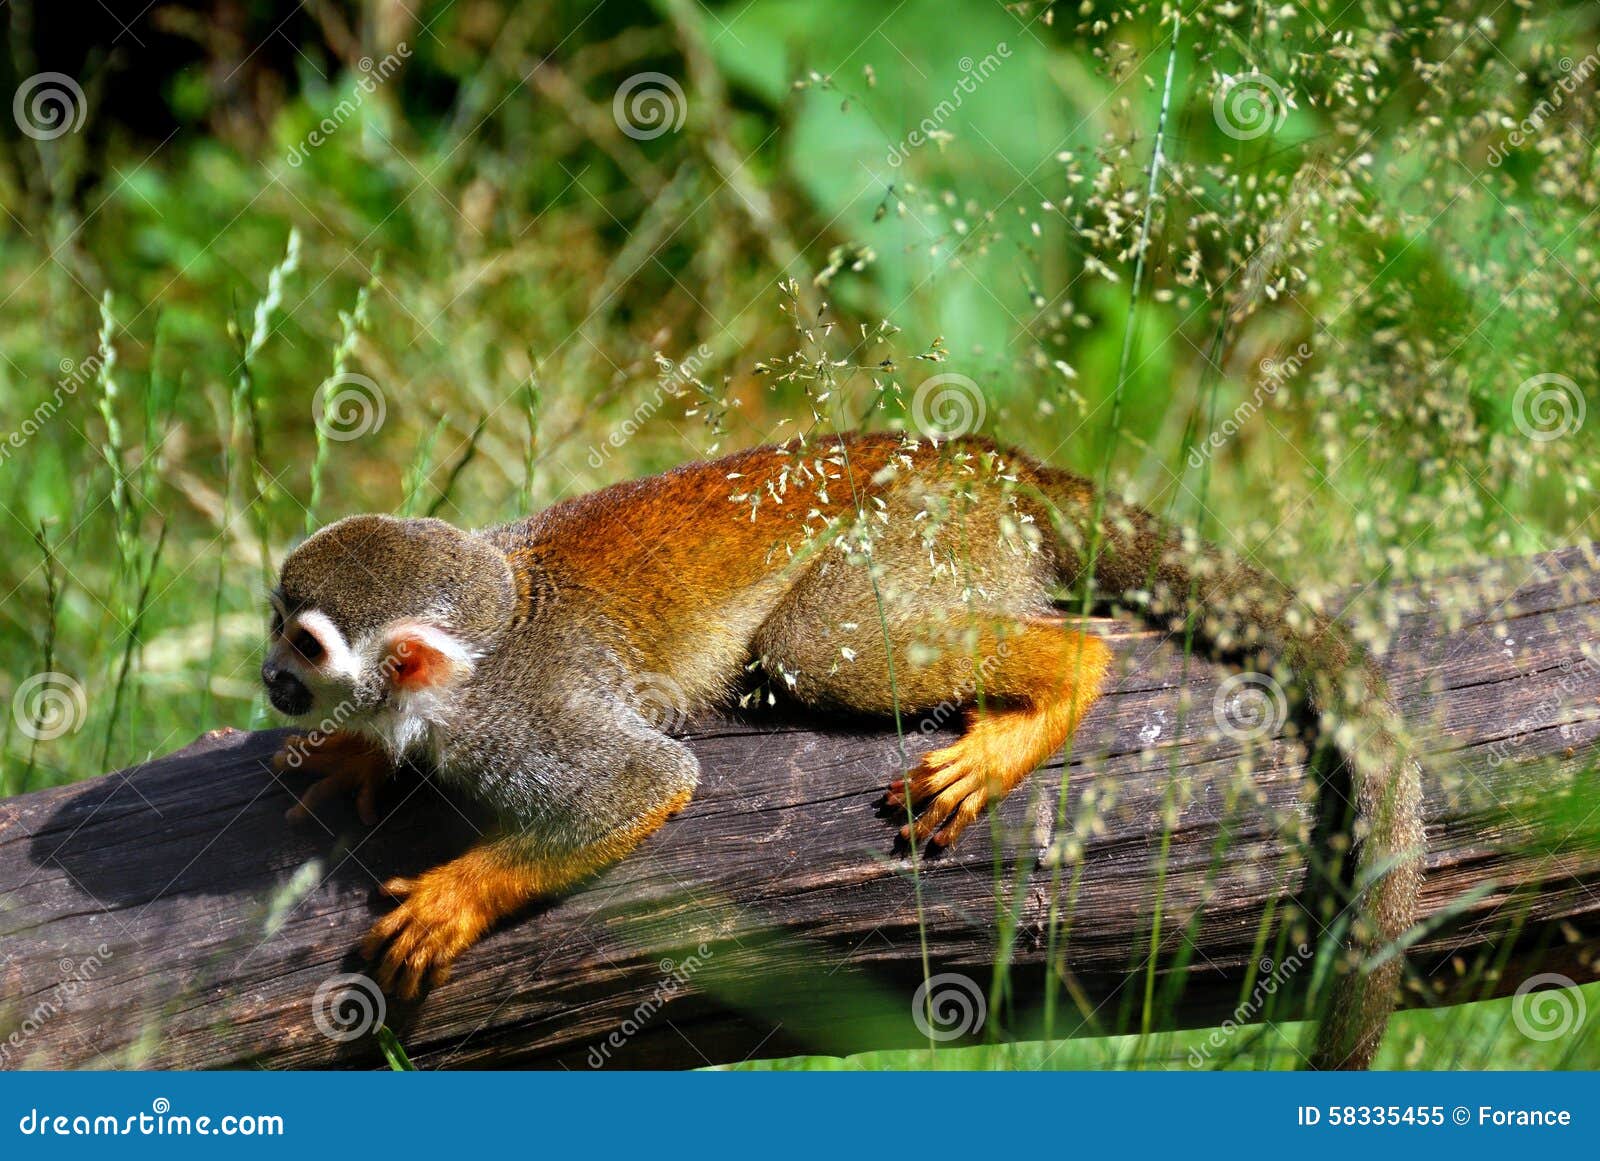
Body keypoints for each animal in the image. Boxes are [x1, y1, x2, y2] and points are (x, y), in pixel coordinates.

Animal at [261, 432, 1421, 1069]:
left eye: (305, 644)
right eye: (276, 622)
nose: (270, 676)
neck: (482, 644)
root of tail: (979, 458)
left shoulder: (520, 717)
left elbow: (644, 783)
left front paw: (456, 894)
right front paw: (361, 753)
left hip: (919, 535)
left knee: (819, 644)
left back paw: (1062, 680)